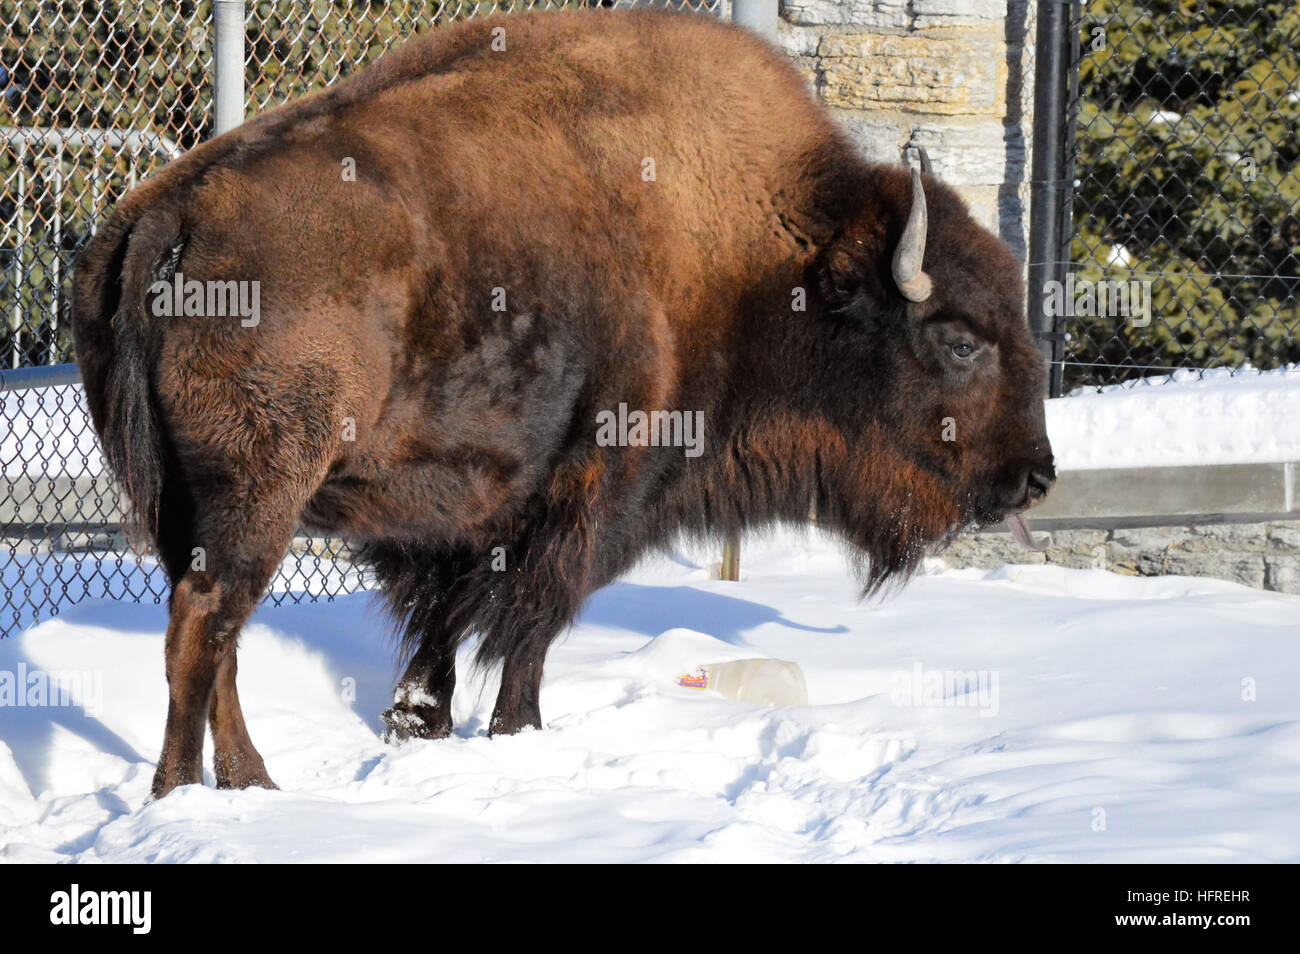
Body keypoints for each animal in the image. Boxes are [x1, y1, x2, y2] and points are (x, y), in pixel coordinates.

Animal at [71, 9, 1055, 798]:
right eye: (961, 341)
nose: (1037, 476)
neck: (770, 260)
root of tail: (175, 211)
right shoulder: (590, 494)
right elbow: (533, 623)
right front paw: (517, 730)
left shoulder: (458, 518)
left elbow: (444, 627)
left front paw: (420, 721)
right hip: (258, 493)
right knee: (206, 624)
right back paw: (185, 792)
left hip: (189, 503)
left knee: (219, 633)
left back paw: (250, 782)